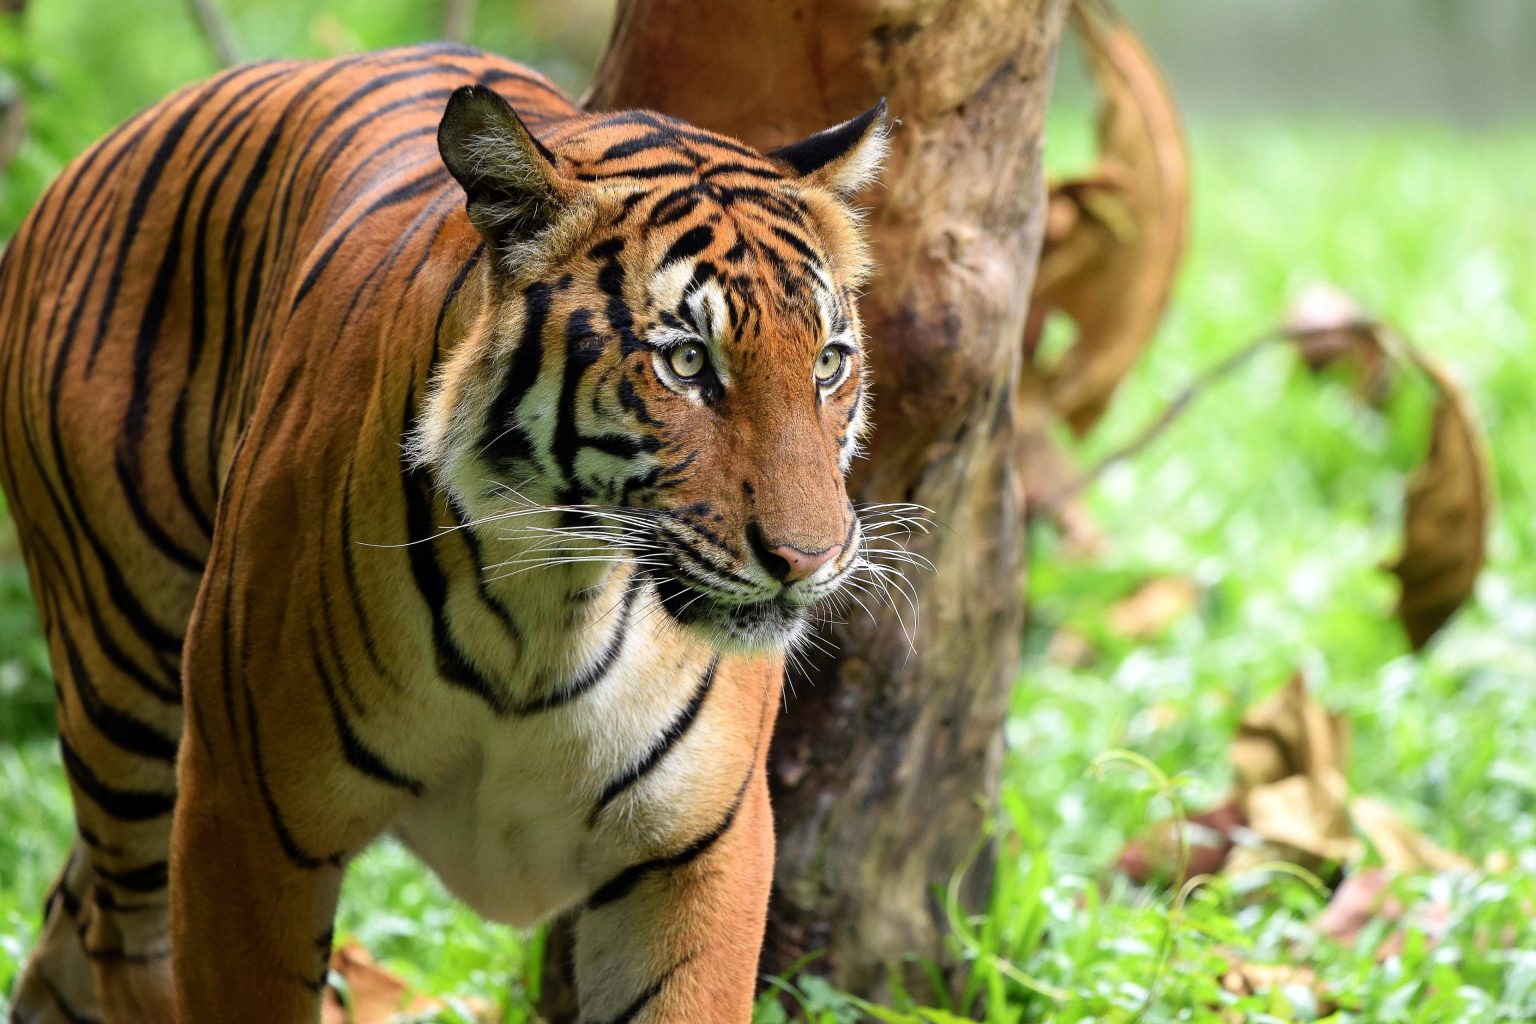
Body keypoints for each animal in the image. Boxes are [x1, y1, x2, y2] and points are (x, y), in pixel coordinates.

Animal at [0, 41, 892, 1024]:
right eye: (687, 363)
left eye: (828, 364)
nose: (807, 561)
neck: (551, 602)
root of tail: (94, 154)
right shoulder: (247, 809)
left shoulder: (696, 846)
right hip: (126, 685)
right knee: (124, 936)